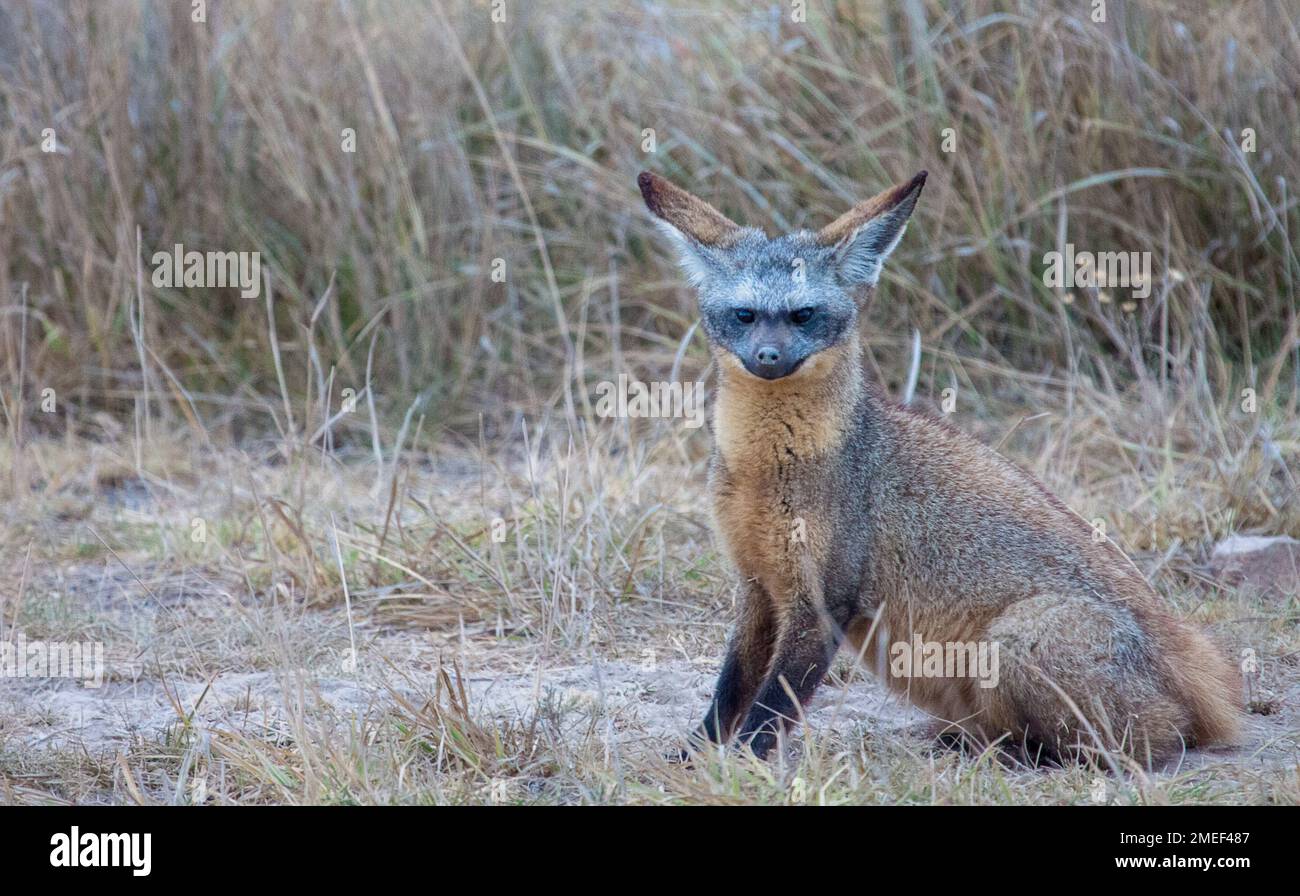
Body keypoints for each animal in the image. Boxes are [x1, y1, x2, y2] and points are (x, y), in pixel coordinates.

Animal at [637, 169, 1242, 764]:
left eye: (802, 315)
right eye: (745, 316)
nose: (768, 357)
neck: (766, 468)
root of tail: (1193, 669)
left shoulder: (823, 600)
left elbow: (769, 711)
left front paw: (743, 767)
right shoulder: (757, 588)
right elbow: (729, 693)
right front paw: (692, 761)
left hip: (1017, 640)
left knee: (1143, 742)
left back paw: (1011, 754)